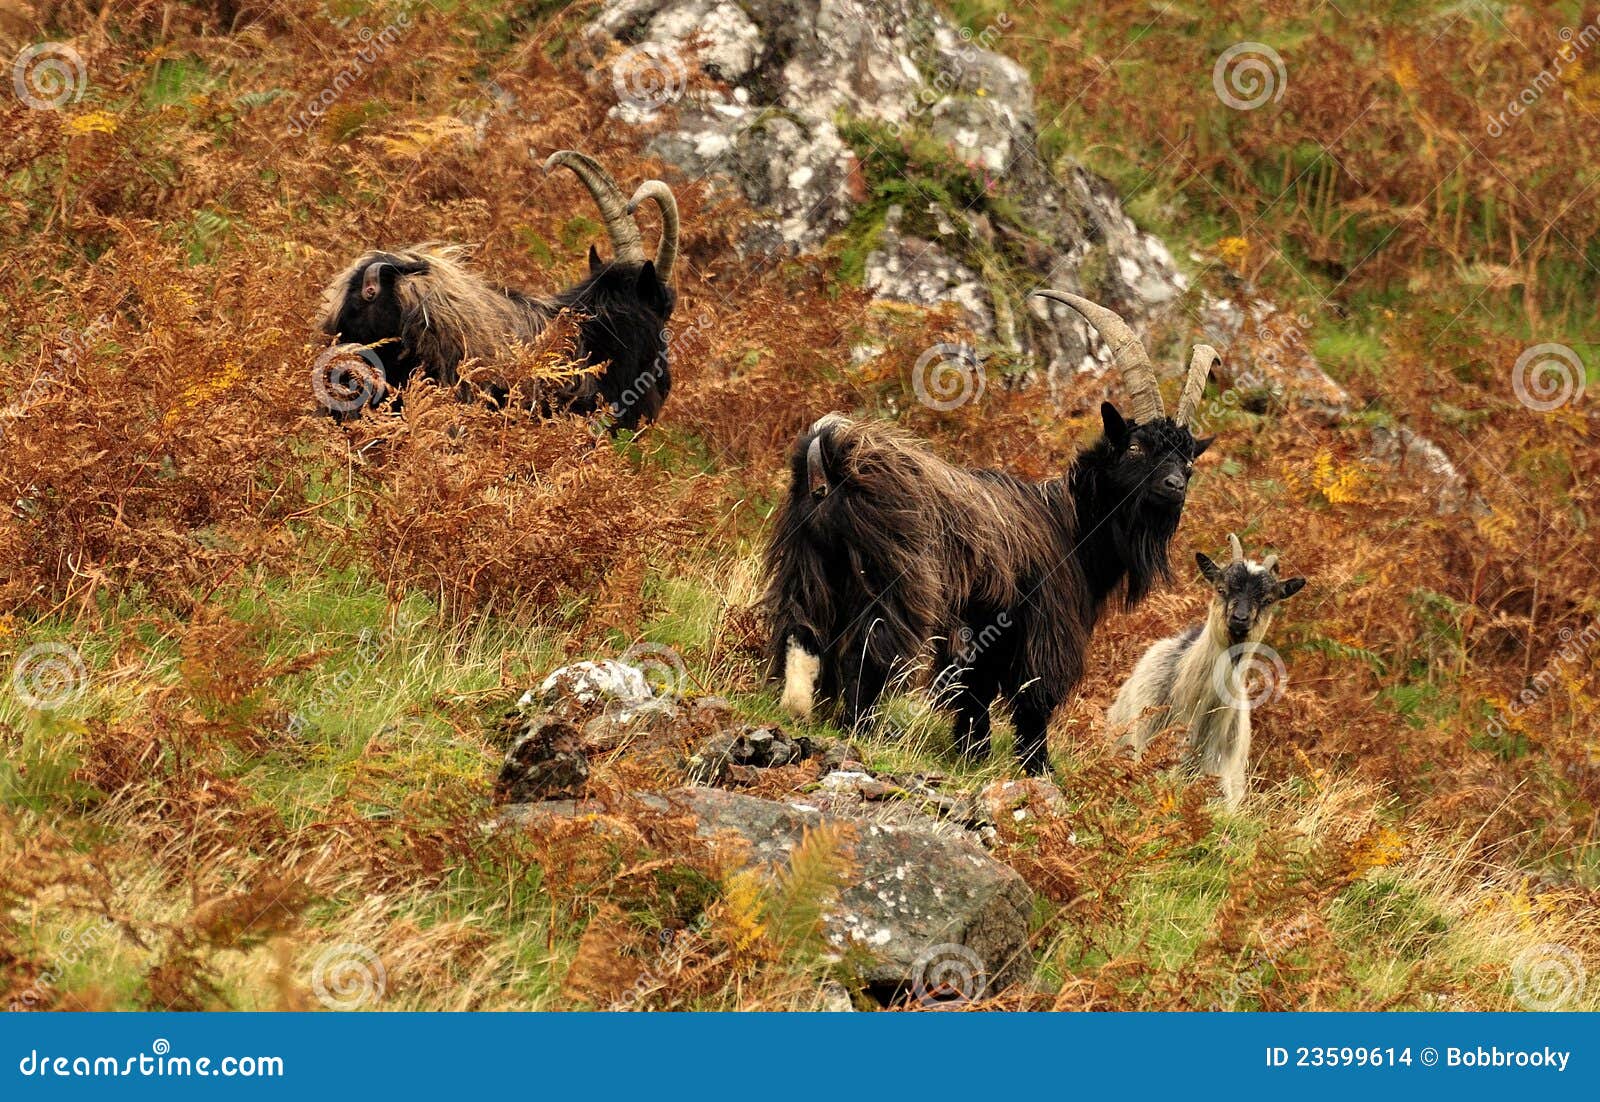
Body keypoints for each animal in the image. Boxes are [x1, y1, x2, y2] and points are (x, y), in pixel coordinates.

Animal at [761, 291, 1218, 774]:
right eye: (1135, 447)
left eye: (1189, 460)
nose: (1175, 485)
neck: (1071, 525)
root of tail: (827, 456)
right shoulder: (1044, 626)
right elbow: (1033, 698)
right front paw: (1037, 768)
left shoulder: (985, 628)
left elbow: (973, 692)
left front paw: (972, 753)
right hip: (894, 582)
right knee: (870, 649)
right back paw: (860, 727)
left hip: (808, 560)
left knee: (800, 629)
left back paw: (798, 707)